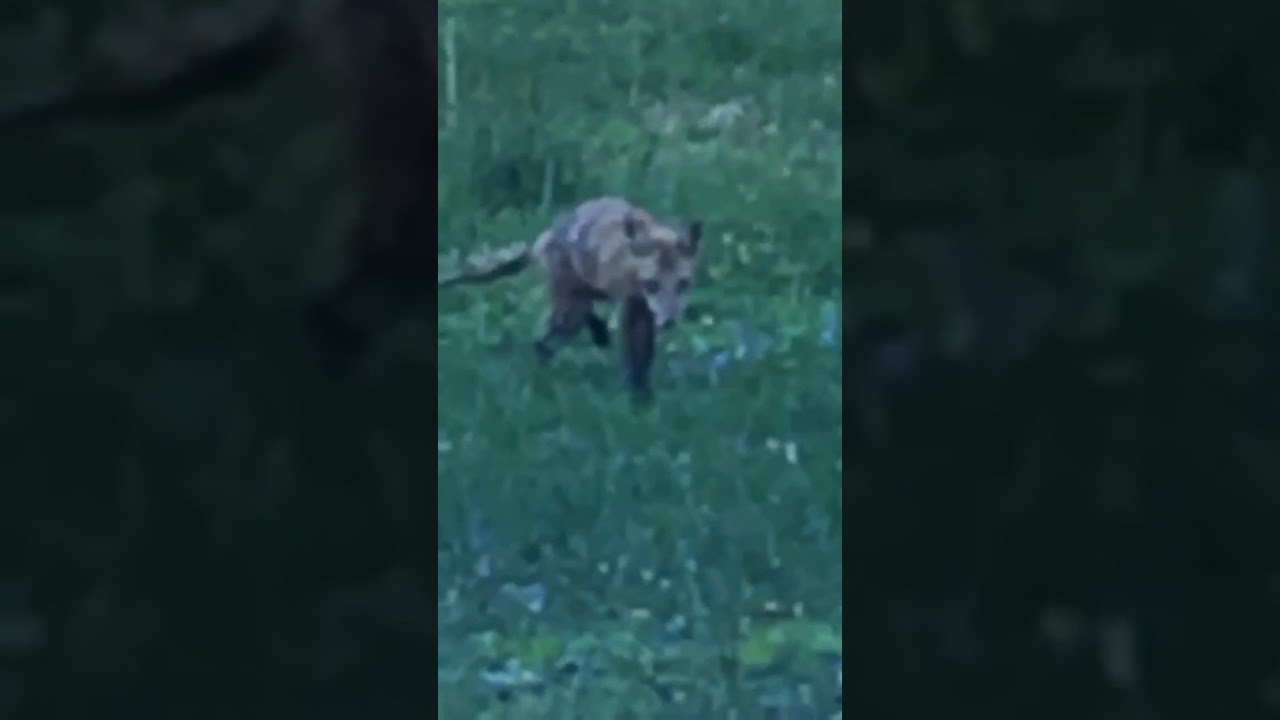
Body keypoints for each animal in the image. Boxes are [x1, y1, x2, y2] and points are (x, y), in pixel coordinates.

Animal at [438, 196, 703, 396]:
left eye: (683, 284)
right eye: (652, 285)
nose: (669, 321)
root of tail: (546, 236)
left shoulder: (640, 308)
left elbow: (643, 356)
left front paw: (644, 395)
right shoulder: (633, 303)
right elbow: (635, 355)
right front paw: (638, 397)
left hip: (584, 297)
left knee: (574, 320)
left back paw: (597, 332)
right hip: (571, 309)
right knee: (546, 340)